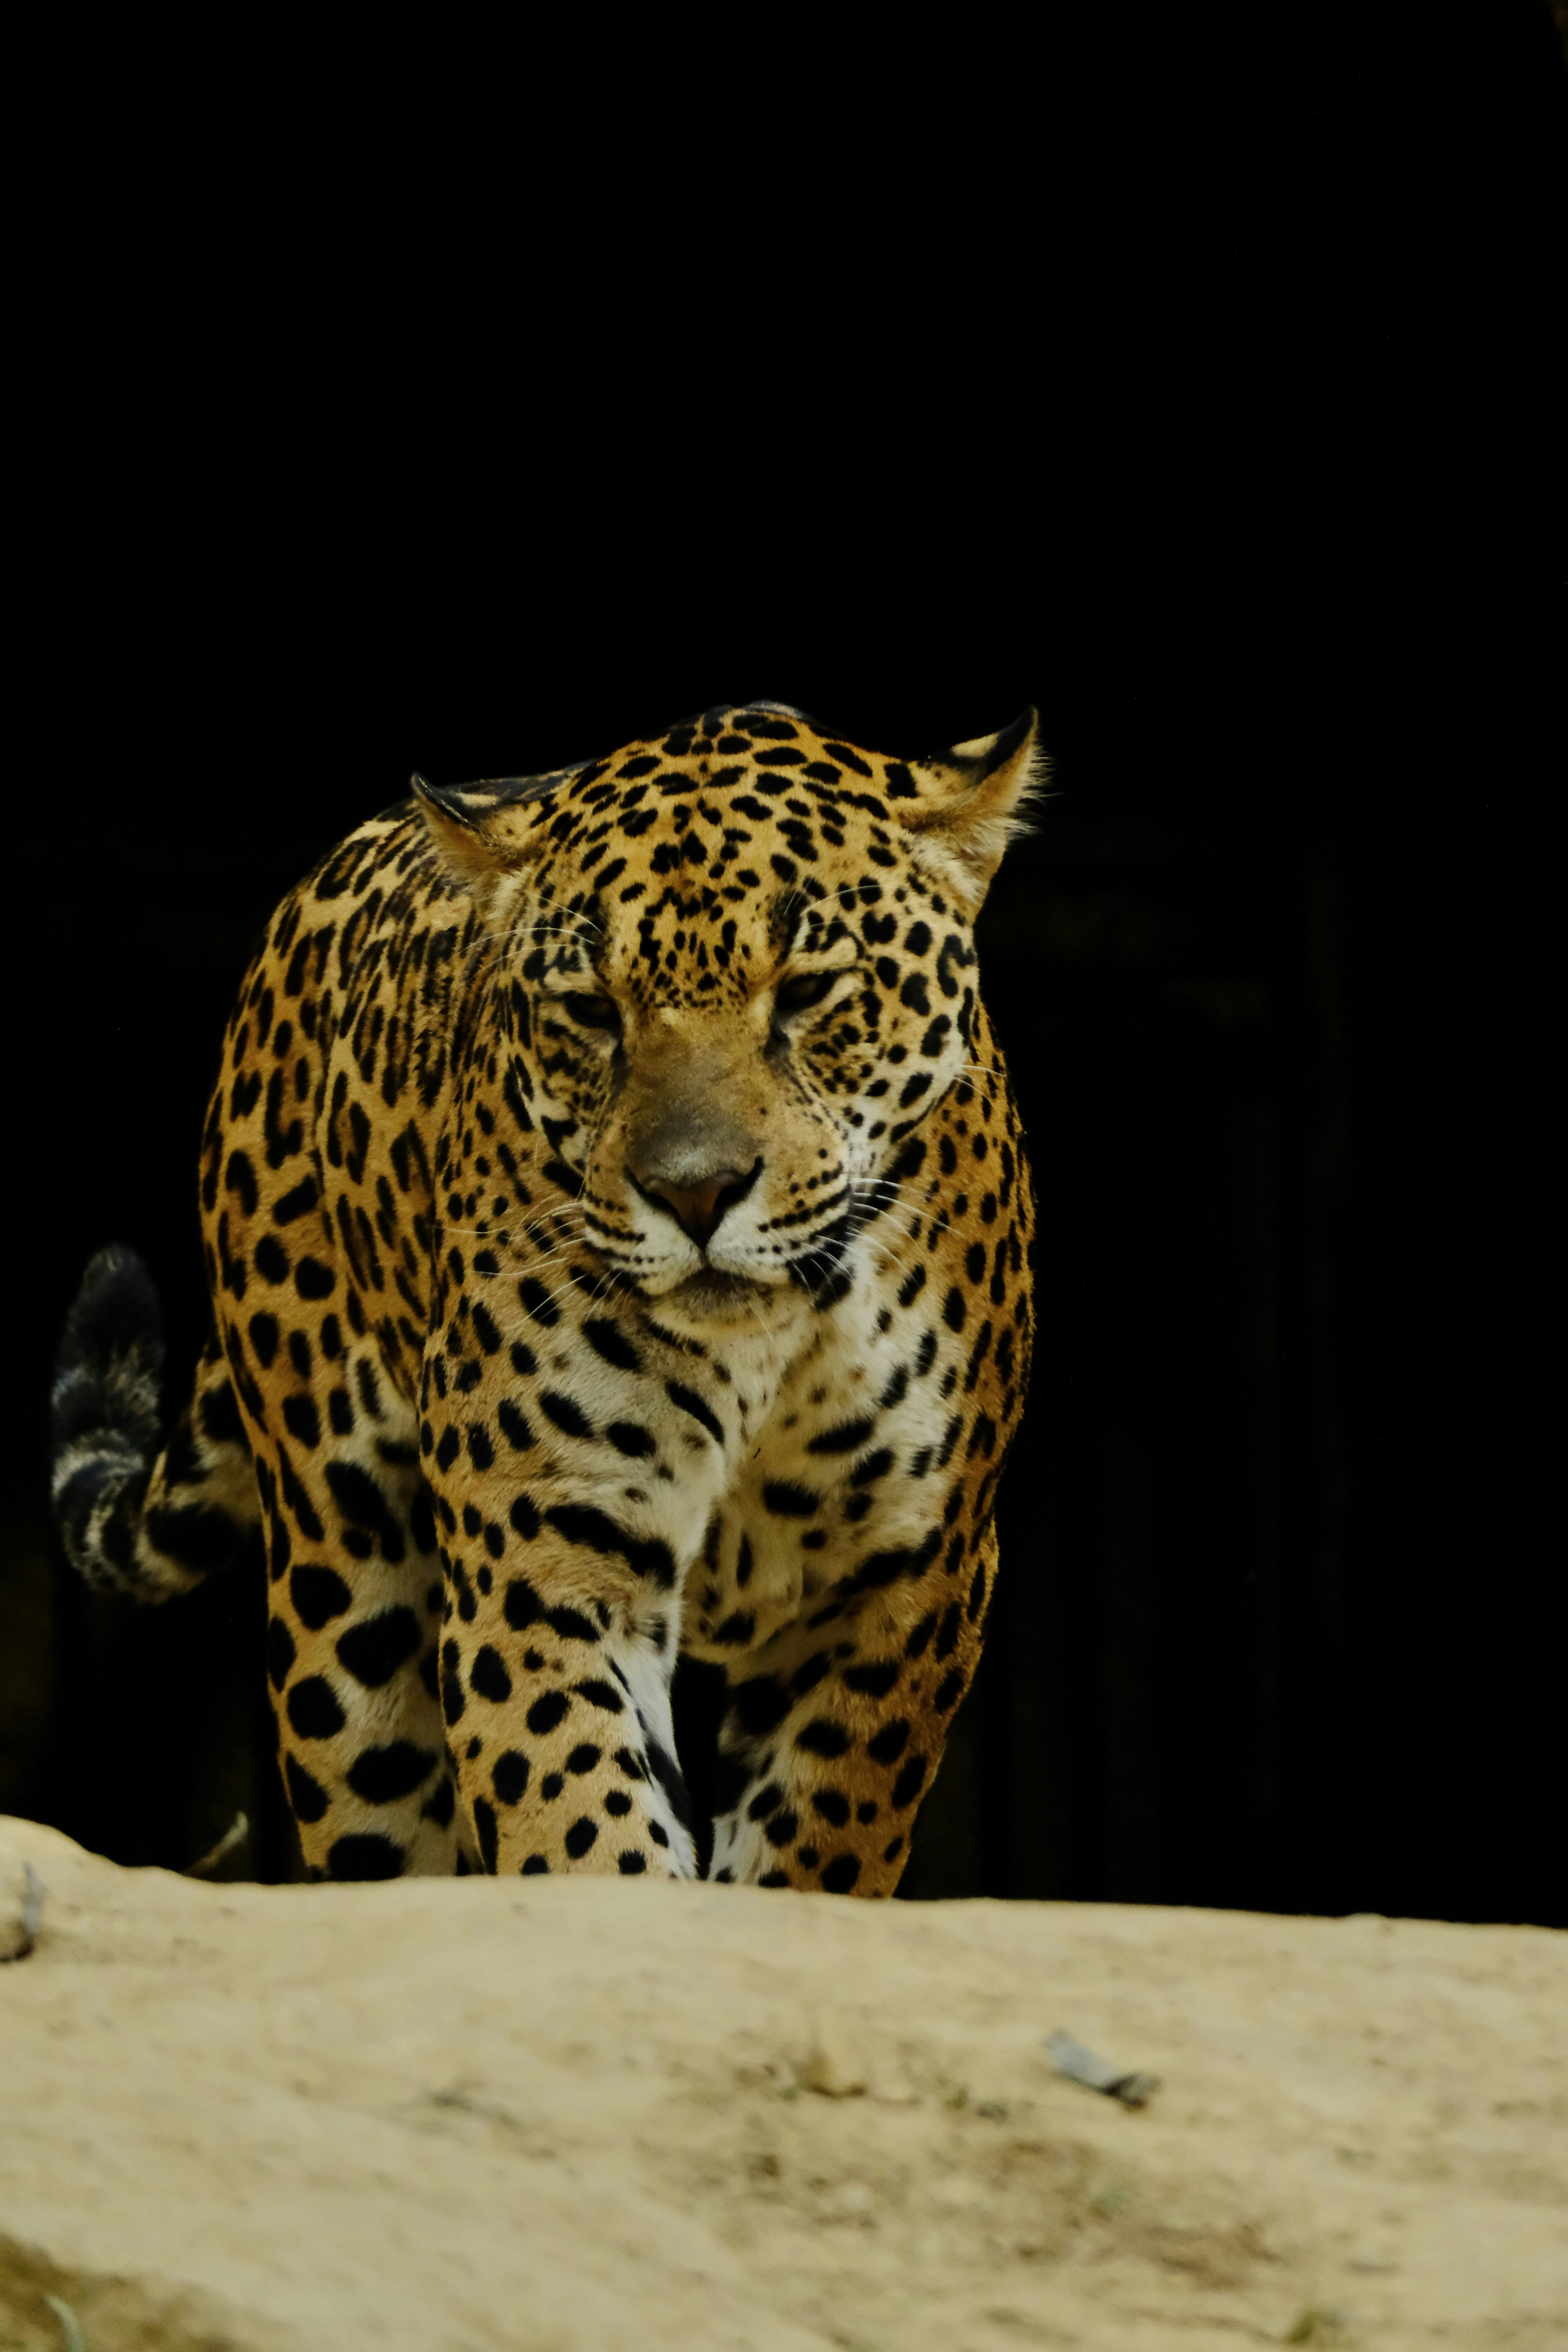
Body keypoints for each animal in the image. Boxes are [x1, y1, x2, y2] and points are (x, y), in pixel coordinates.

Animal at [50, 700, 1040, 1894]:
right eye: (591, 1010)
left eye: (809, 990)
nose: (695, 1190)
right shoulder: (542, 1559)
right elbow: (585, 1838)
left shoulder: (897, 1580)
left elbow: (809, 1854)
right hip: (343, 1596)